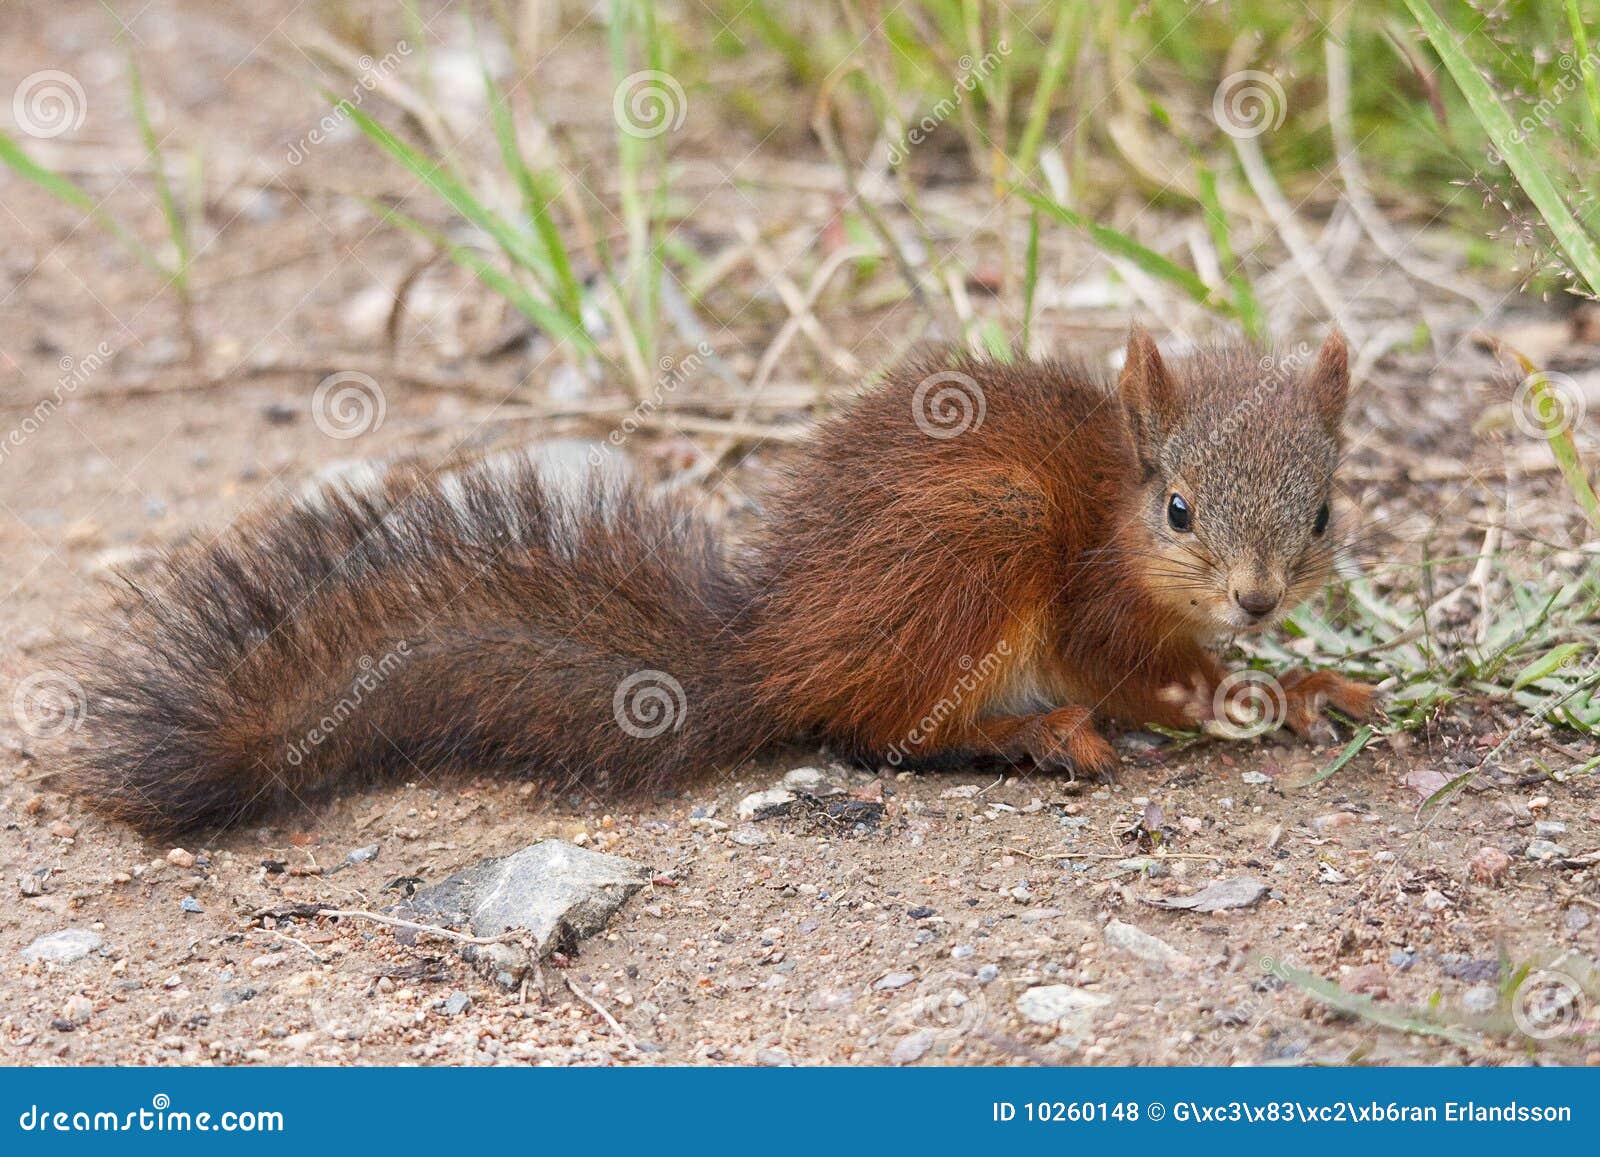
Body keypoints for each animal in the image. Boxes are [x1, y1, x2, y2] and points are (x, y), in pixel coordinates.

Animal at [63, 327, 1374, 834]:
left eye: (1320, 509)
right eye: (1178, 509)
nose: (1258, 598)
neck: (1113, 498)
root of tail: (777, 652)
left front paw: (1316, 679)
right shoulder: (1096, 600)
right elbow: (1153, 675)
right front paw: (1273, 692)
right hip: (977, 545)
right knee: (881, 732)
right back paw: (1035, 733)